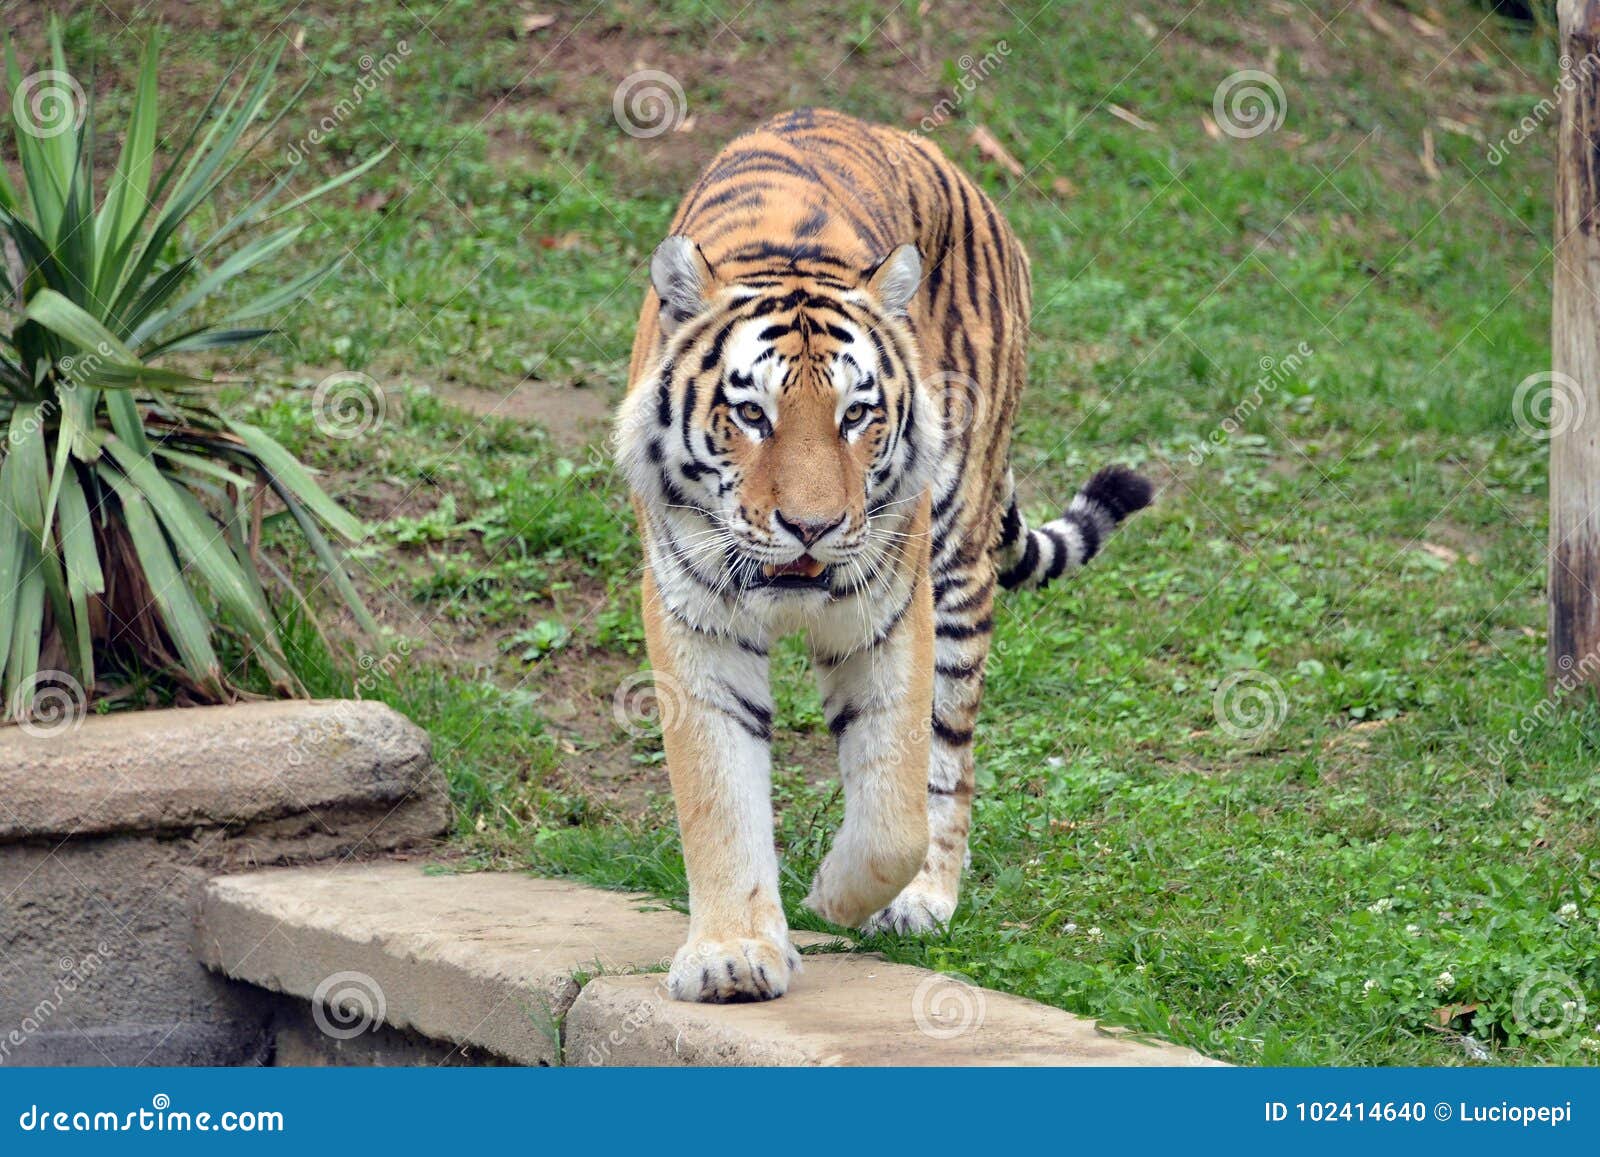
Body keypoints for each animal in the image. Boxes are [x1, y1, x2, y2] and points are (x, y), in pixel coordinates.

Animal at [615, 108, 1152, 1003]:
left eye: (856, 414)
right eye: (751, 414)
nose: (812, 525)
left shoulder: (894, 609)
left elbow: (895, 802)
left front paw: (834, 896)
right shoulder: (697, 621)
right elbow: (718, 792)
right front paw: (733, 953)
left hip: (959, 557)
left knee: (947, 758)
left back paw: (924, 898)